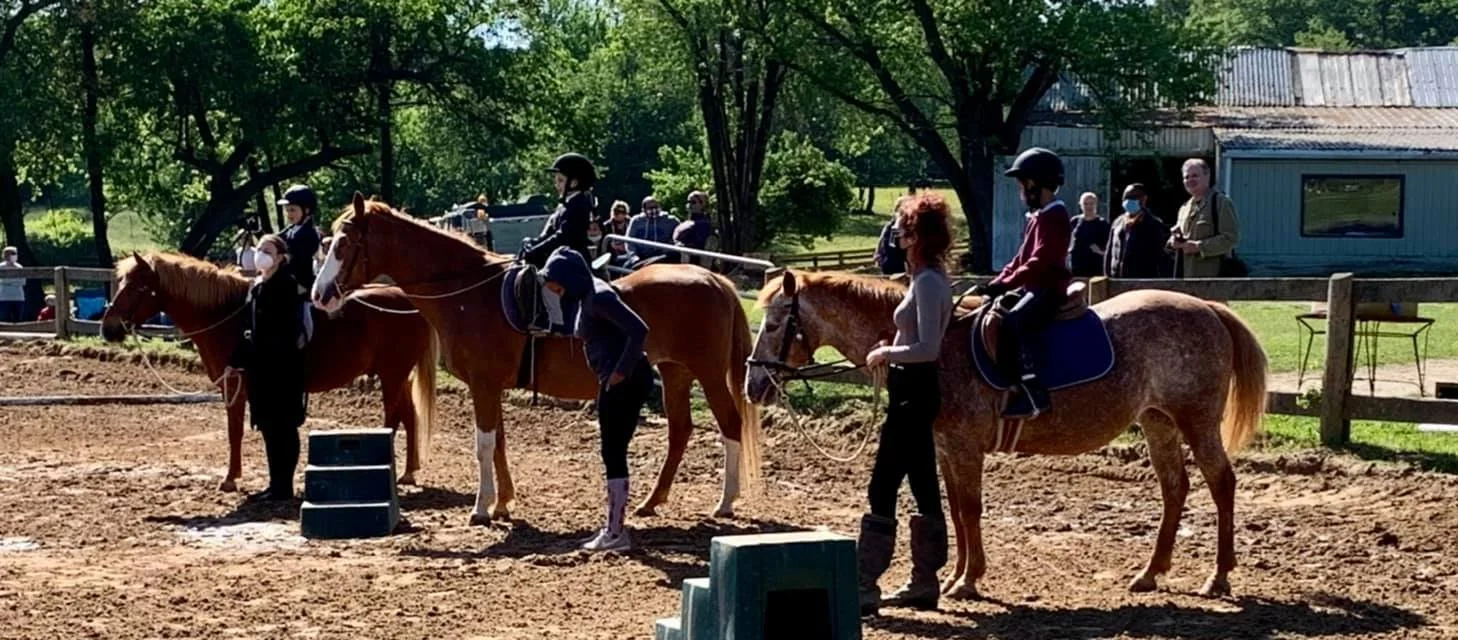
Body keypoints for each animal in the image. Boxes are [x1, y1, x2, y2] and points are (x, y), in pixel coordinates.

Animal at [101, 251, 439, 490]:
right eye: (121, 284)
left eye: (139, 287)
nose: (108, 328)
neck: (228, 317)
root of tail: (406, 300)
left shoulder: (236, 385)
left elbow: (234, 431)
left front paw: (230, 478)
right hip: (397, 375)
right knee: (410, 417)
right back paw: (408, 474)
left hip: (392, 375)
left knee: (393, 419)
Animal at [310, 194, 762, 525]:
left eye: (344, 244)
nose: (320, 295)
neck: (471, 292)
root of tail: (713, 279)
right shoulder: (490, 387)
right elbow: (497, 444)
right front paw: (502, 503)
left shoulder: (483, 384)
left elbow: (483, 445)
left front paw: (480, 509)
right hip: (675, 373)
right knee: (680, 431)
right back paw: (652, 501)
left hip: (707, 374)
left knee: (729, 424)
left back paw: (725, 502)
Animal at [744, 270, 1268, 598]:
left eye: (775, 323)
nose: (752, 384)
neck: (933, 345)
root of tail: (1207, 307)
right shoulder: (946, 448)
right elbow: (956, 512)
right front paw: (955, 577)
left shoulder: (964, 446)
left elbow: (970, 510)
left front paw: (968, 580)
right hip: (1158, 421)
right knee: (1175, 489)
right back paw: (1150, 573)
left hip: (1196, 421)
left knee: (1221, 484)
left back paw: (1218, 577)